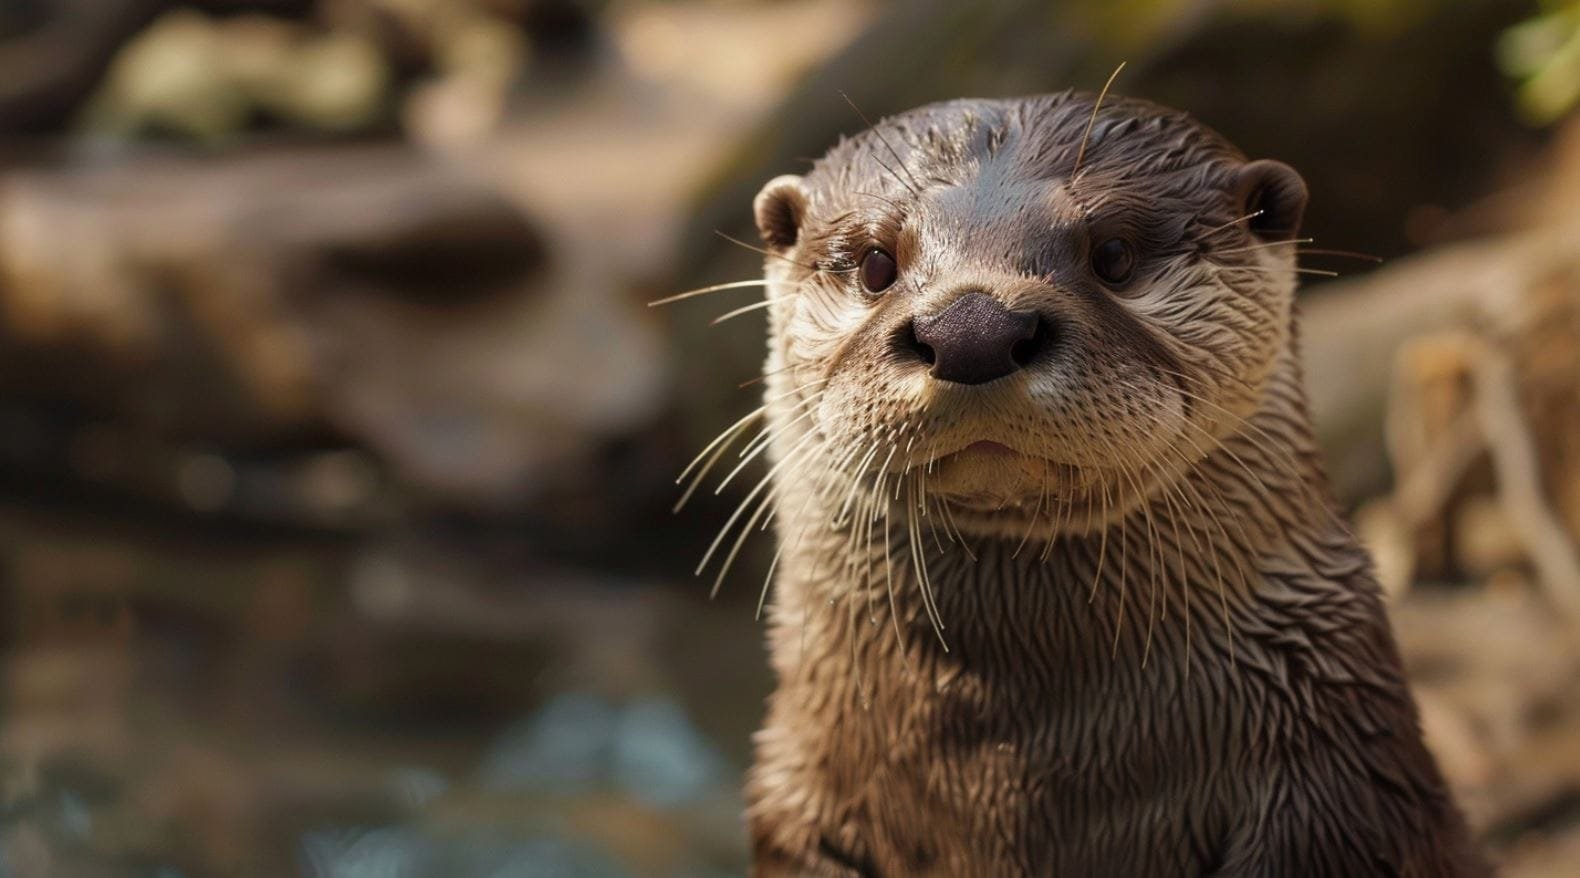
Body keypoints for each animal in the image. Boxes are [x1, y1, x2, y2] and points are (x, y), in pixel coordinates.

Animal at [694, 91, 1486, 876]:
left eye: (1114, 254)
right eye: (876, 264)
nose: (971, 329)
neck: (1015, 755)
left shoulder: (1334, 781)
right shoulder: (797, 788)